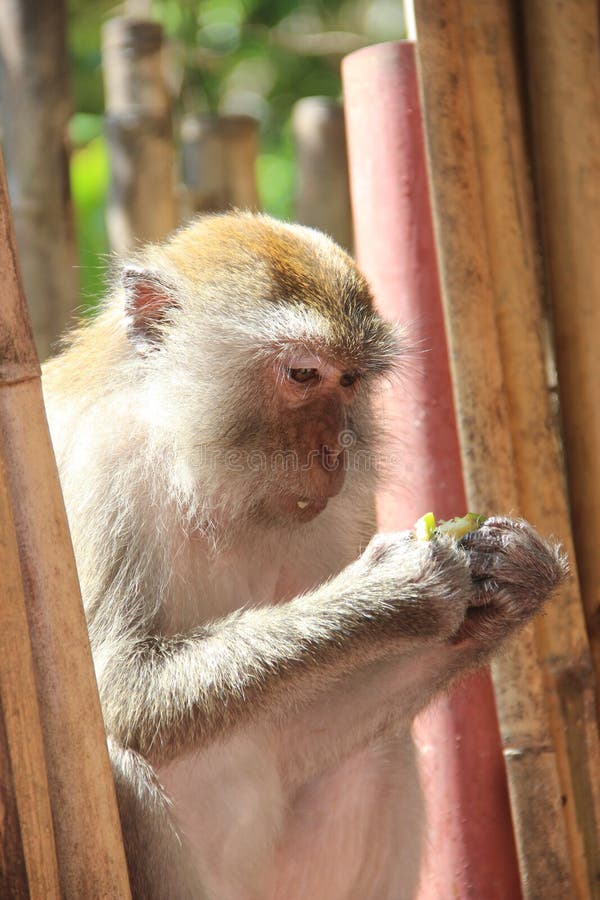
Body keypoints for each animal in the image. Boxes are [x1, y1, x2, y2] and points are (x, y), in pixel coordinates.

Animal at [42, 212, 565, 900]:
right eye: (301, 375)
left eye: (350, 379)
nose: (334, 450)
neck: (196, 468)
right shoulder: (96, 474)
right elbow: (111, 695)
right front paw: (393, 594)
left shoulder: (340, 511)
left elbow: (297, 729)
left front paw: (513, 580)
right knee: (118, 765)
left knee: (380, 752)